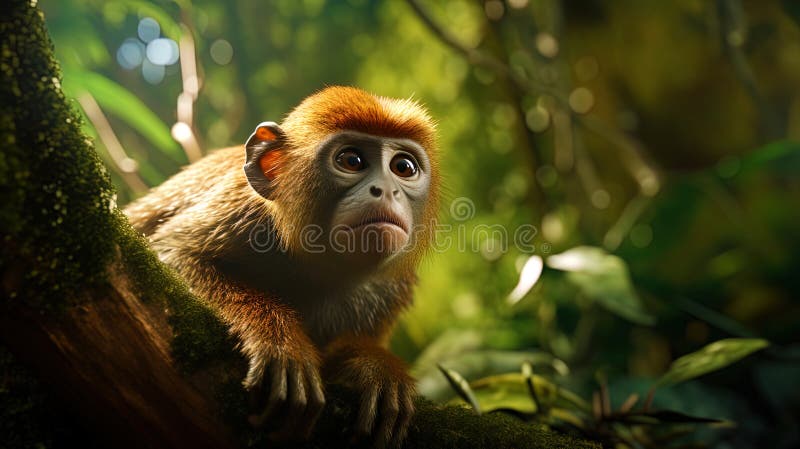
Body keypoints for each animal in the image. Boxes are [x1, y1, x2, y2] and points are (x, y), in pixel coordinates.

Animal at [124, 86, 439, 448]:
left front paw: (375, 365)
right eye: (351, 161)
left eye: (403, 167)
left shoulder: (391, 287)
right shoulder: (245, 211)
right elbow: (173, 253)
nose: (386, 189)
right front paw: (279, 339)